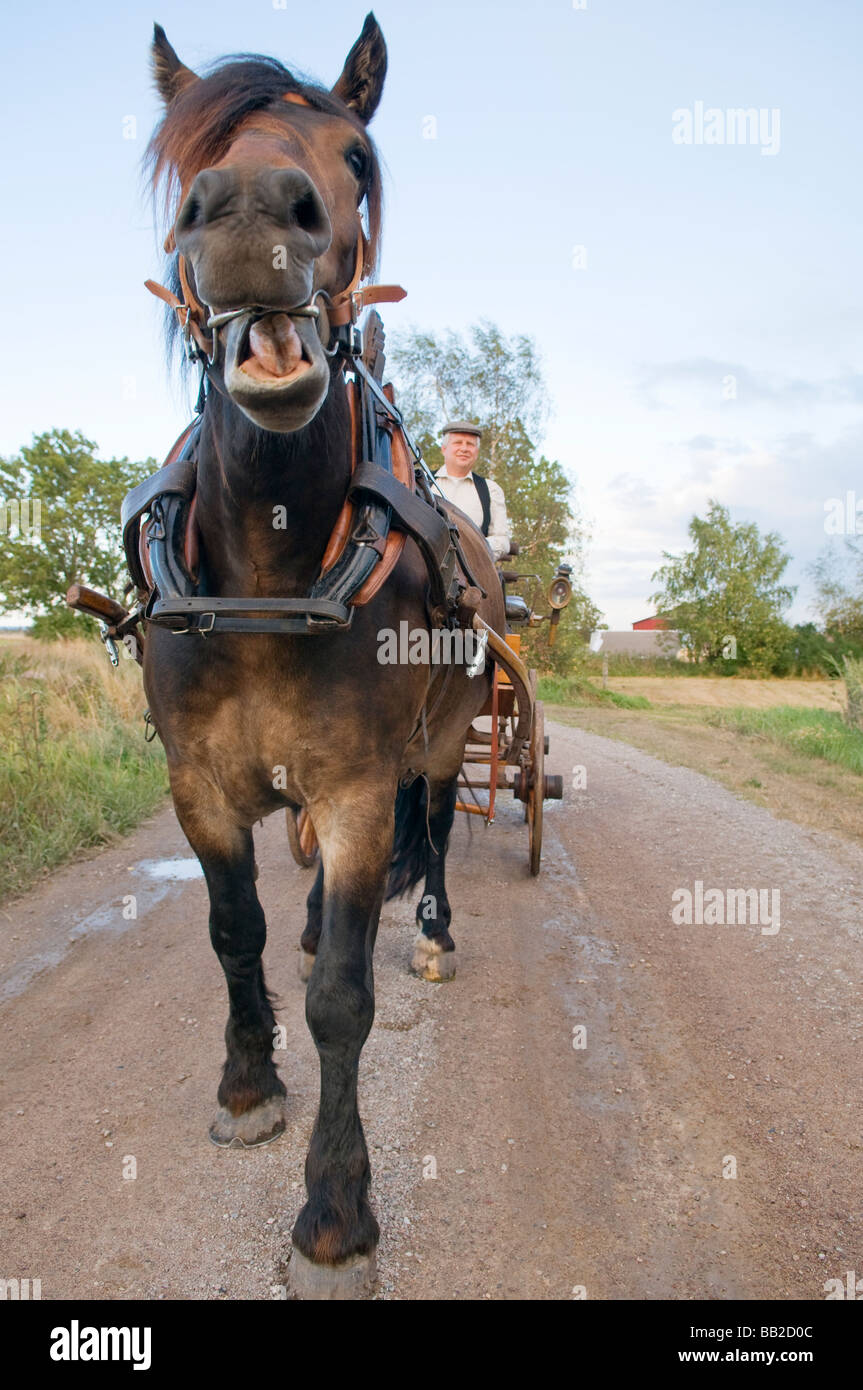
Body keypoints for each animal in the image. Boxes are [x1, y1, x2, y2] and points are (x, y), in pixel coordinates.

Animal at [140, 14, 506, 1297]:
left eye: (352, 152)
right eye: (188, 157)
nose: (250, 208)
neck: (268, 565)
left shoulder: (355, 784)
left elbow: (344, 998)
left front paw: (338, 1207)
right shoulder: (198, 785)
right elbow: (231, 930)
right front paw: (248, 1082)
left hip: (445, 734)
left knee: (435, 824)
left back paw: (433, 926)